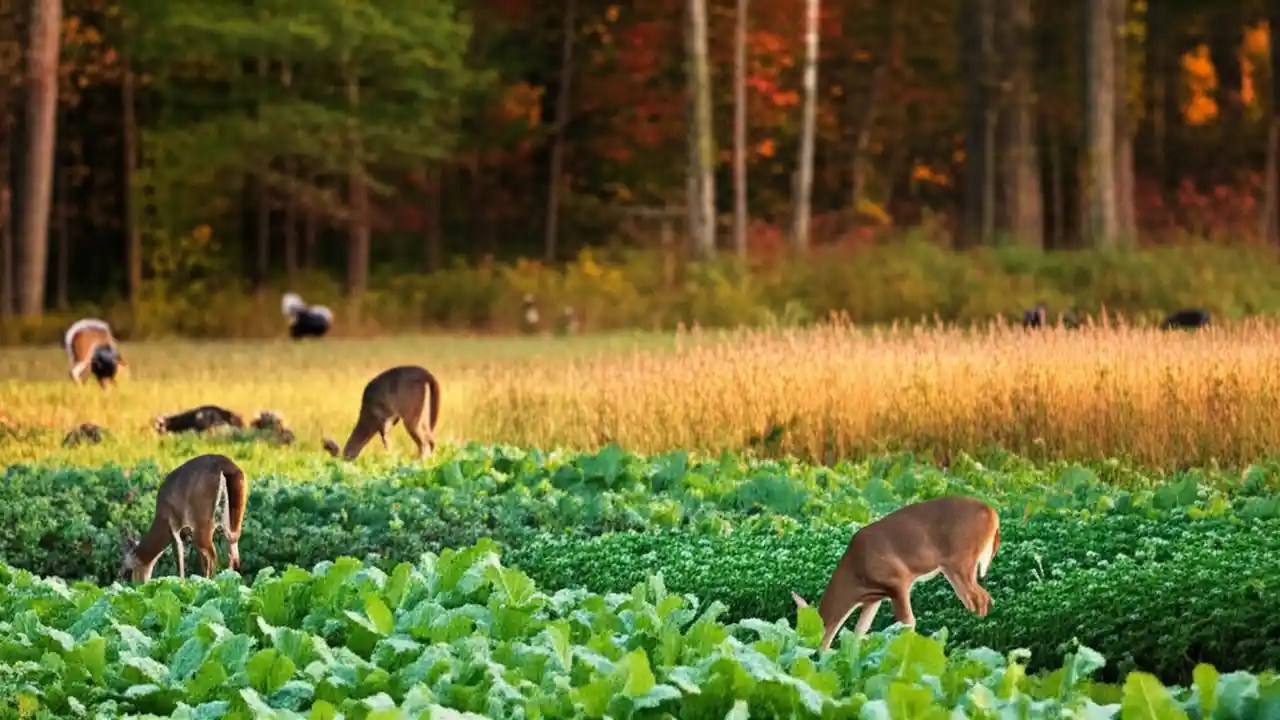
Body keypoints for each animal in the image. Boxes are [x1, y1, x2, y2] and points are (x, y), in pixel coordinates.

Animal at [119, 454, 248, 583]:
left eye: (128, 572)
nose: (137, 584)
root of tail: (225, 466)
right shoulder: (186, 531)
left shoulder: (174, 529)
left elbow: (179, 559)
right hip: (231, 525)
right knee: (232, 554)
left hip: (203, 530)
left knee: (212, 556)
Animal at [790, 496, 1000, 652]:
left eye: (804, 631)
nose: (810, 653)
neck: (855, 576)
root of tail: (993, 513)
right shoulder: (874, 598)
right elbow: (860, 630)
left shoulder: (897, 580)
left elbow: (908, 622)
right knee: (982, 599)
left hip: (960, 562)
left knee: (980, 599)